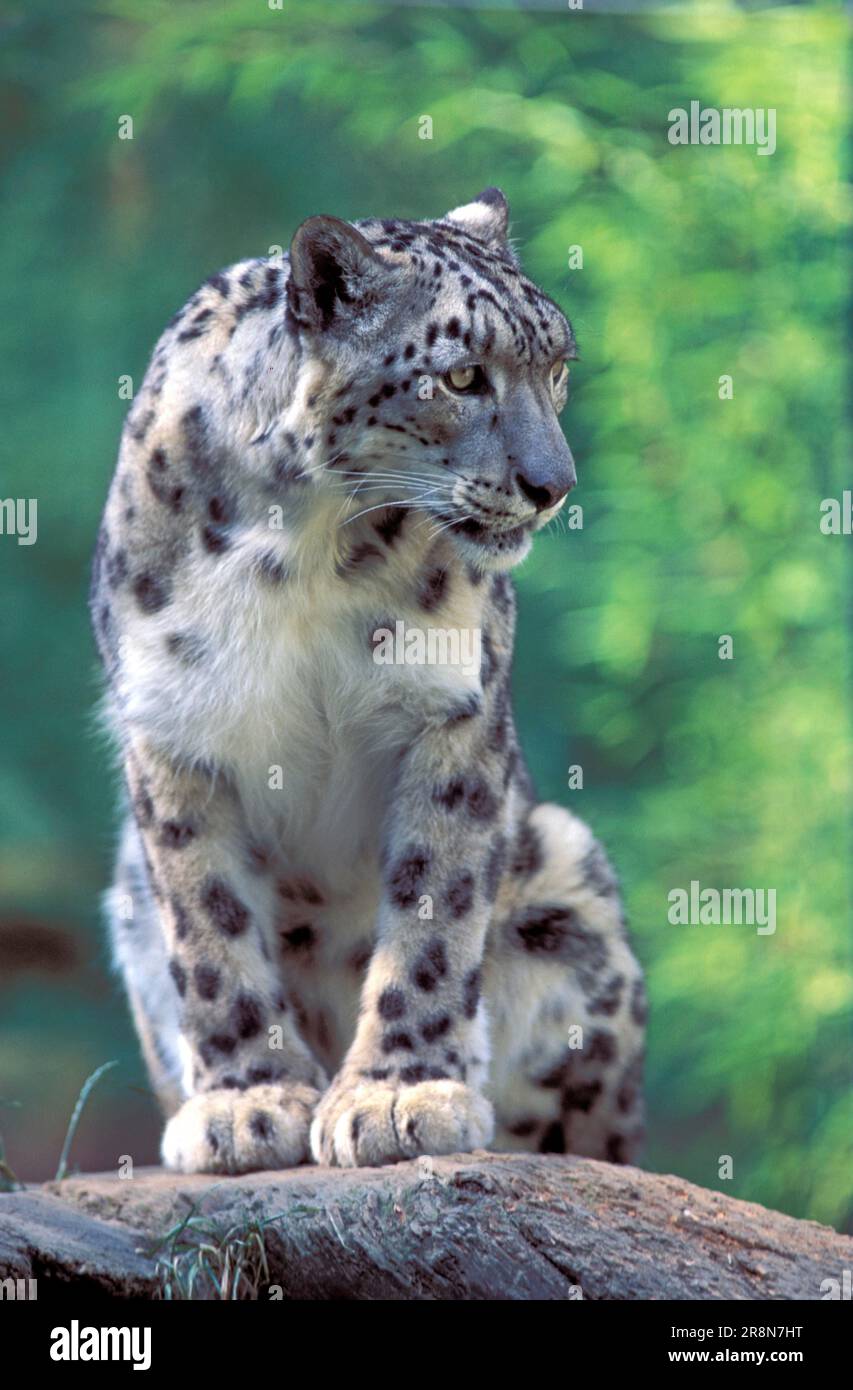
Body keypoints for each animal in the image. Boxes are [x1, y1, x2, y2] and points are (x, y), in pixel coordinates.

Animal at [90, 186, 646, 1173]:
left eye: (556, 368)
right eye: (461, 377)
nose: (553, 484)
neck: (307, 542)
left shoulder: (450, 712)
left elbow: (433, 908)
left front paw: (397, 1094)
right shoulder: (172, 728)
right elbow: (208, 922)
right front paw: (249, 1103)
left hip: (566, 878)